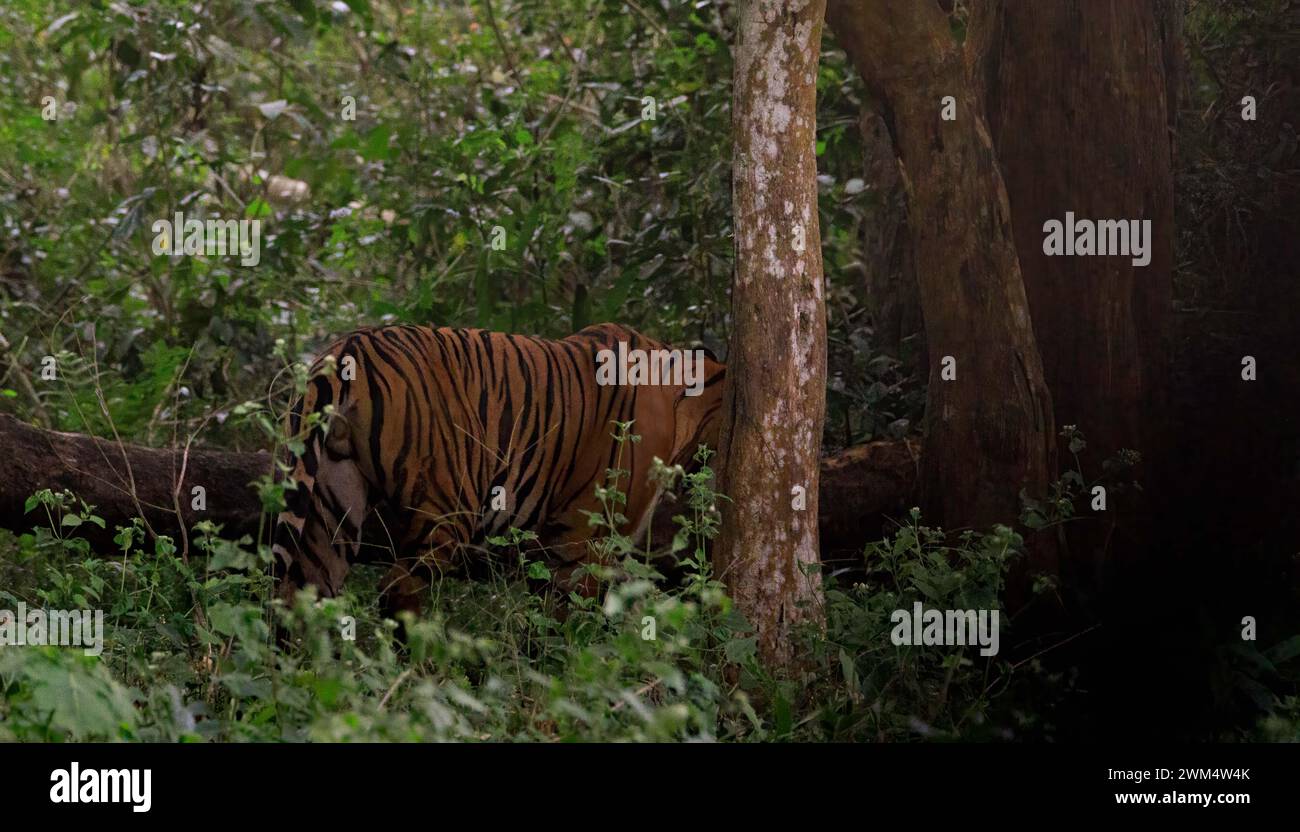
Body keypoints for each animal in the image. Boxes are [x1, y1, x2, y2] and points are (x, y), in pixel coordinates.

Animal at [271, 322, 726, 620]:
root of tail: (346, 349)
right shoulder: (586, 540)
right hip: (448, 504)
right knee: (395, 590)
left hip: (332, 504)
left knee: (300, 595)